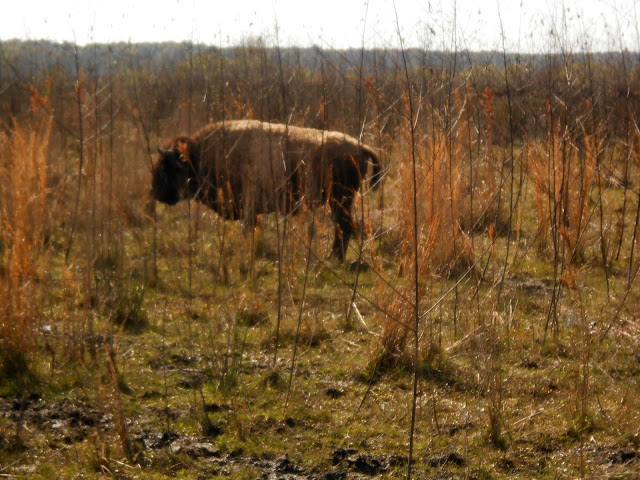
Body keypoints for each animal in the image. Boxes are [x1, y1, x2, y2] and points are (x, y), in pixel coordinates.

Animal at [151, 120, 382, 261]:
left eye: (165, 167)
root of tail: (360, 146)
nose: (154, 192)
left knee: (344, 227)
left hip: (339, 200)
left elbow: (246, 229)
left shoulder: (249, 207)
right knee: (344, 228)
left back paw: (334, 259)